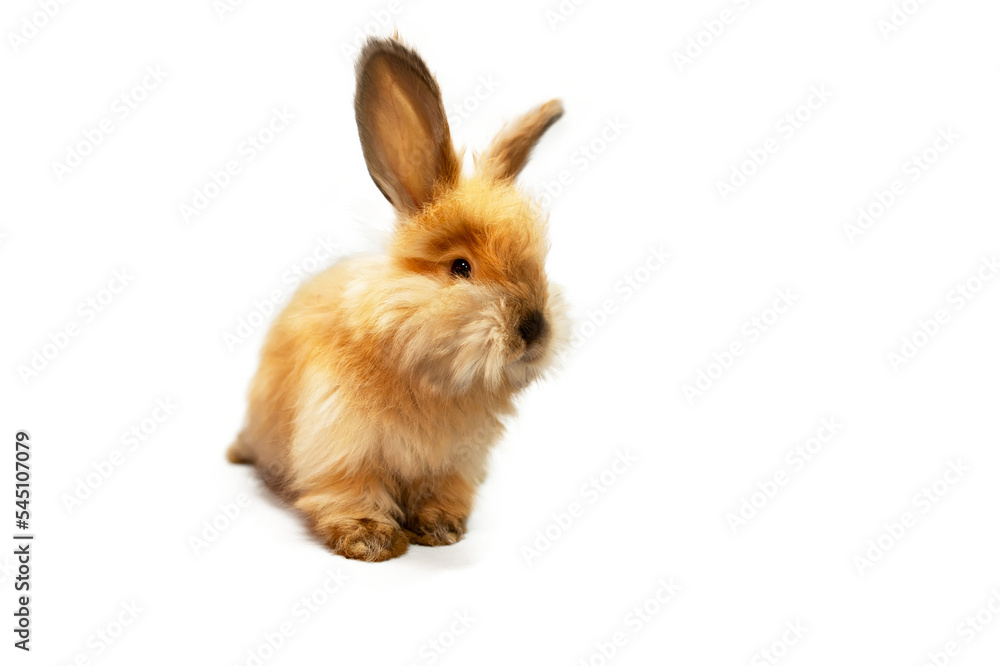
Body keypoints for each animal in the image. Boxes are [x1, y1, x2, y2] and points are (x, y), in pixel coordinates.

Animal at [227, 36, 566, 562]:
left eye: (539, 266)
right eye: (461, 267)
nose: (535, 329)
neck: (428, 374)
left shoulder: (455, 464)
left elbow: (443, 495)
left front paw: (441, 530)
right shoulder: (342, 448)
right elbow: (352, 493)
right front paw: (372, 540)